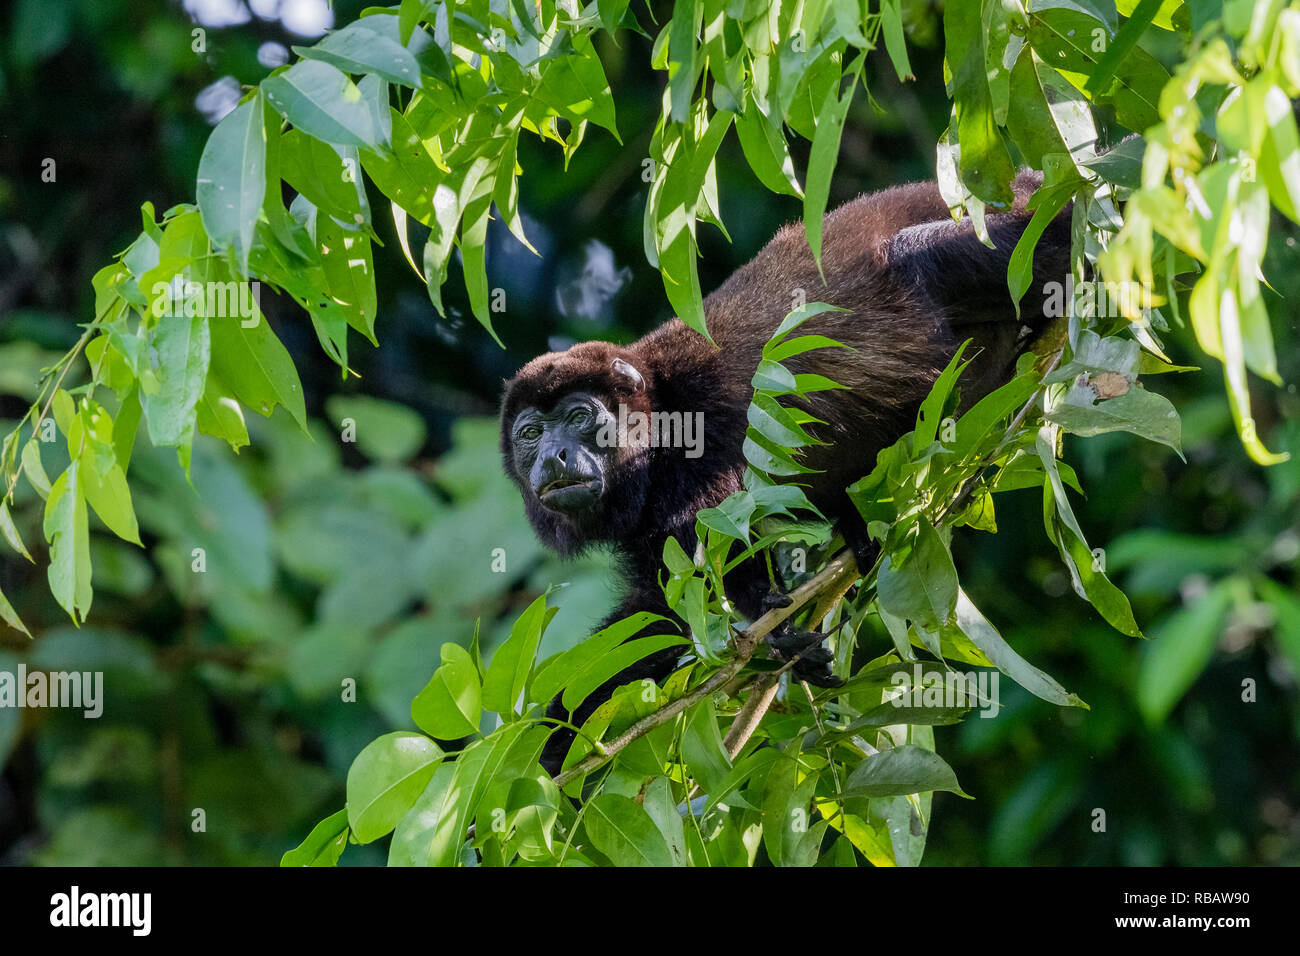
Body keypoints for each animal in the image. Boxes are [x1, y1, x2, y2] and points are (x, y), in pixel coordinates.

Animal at [500, 171, 1070, 775]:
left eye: (579, 417)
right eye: (531, 434)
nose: (553, 457)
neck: (658, 422)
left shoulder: (704, 435)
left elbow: (717, 557)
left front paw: (773, 630)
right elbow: (657, 614)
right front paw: (545, 755)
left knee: (920, 256)